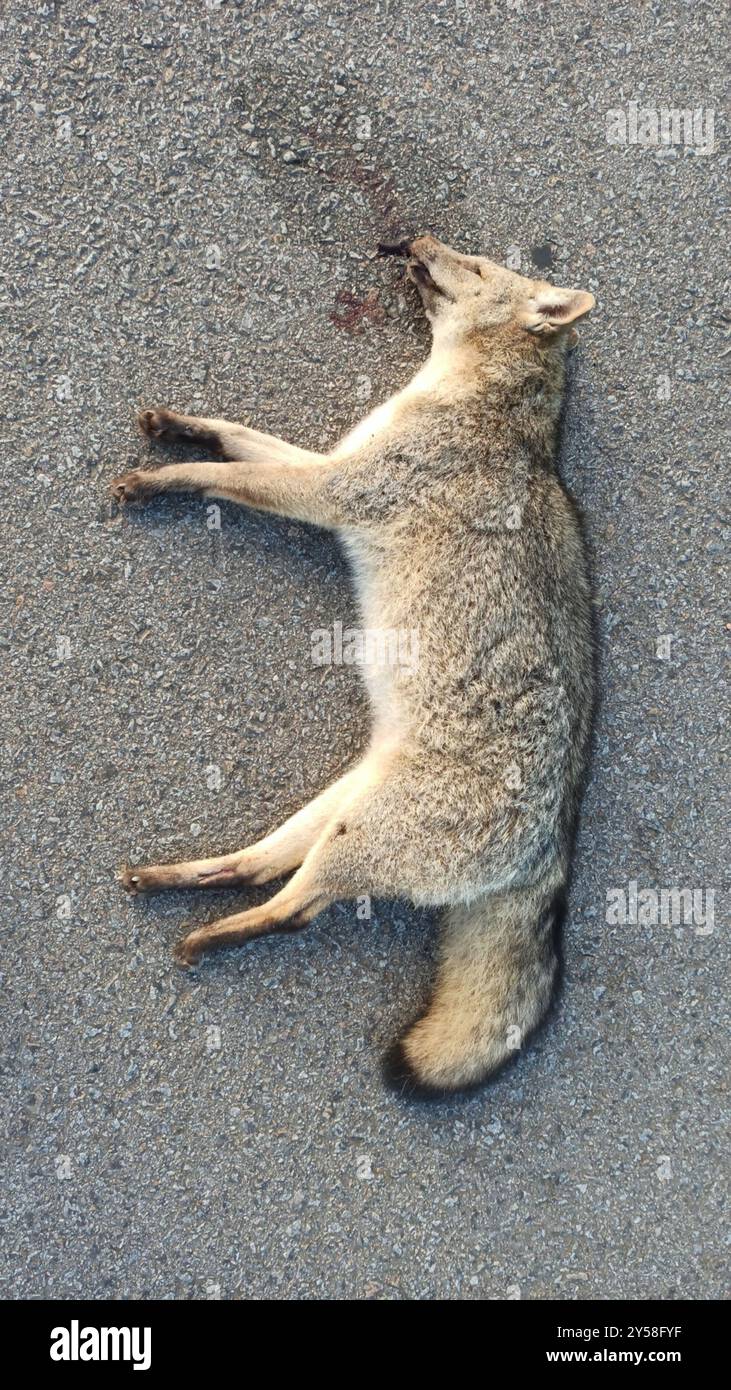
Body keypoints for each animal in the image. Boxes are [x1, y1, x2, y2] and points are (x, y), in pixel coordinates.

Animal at [112, 234, 596, 1096]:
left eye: (473, 264)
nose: (415, 239)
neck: (488, 404)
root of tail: (555, 842)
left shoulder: (336, 488)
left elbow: (226, 477)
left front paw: (163, 476)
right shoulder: (330, 461)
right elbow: (239, 438)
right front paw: (181, 425)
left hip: (355, 837)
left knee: (291, 911)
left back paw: (210, 939)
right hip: (335, 813)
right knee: (253, 868)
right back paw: (179, 880)